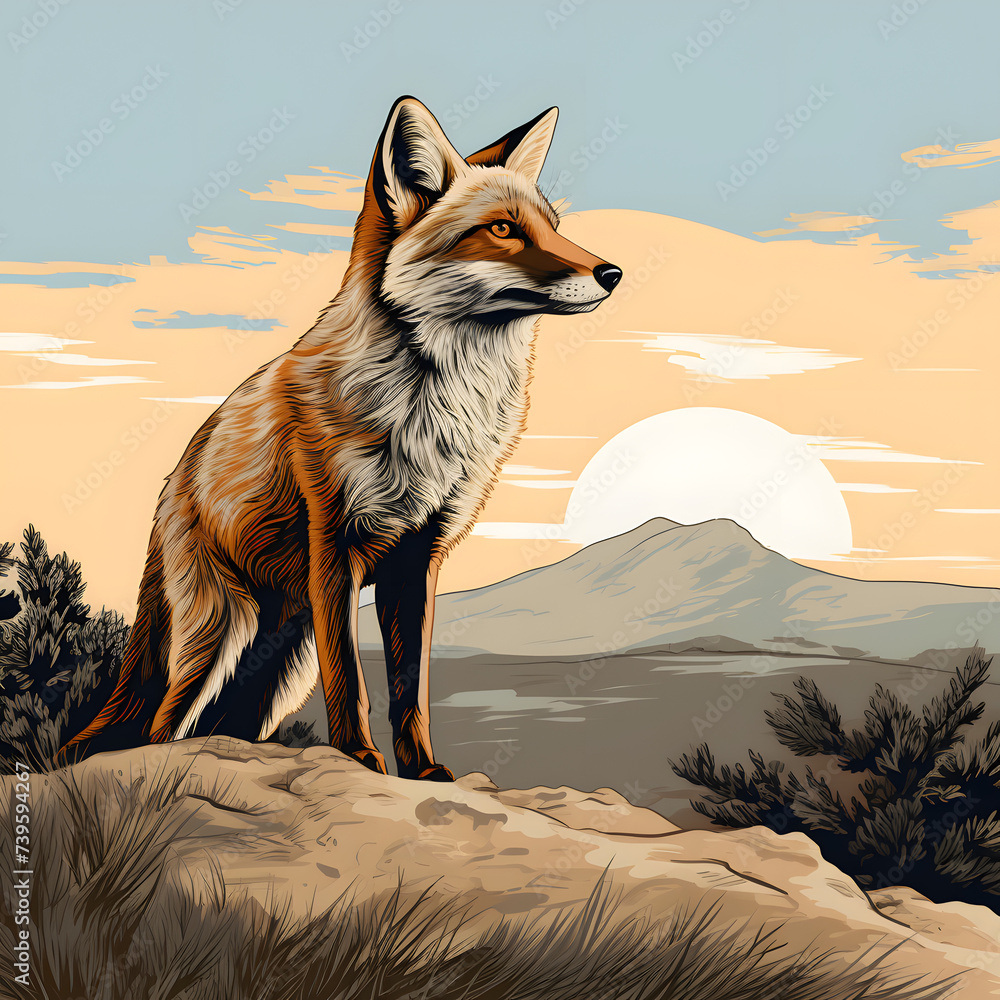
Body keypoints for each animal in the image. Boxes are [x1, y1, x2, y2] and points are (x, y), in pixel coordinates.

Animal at [58, 96, 621, 780]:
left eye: (554, 226)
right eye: (503, 230)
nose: (613, 272)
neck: (434, 413)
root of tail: (174, 484)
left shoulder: (420, 557)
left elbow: (411, 689)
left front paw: (423, 771)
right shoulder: (334, 542)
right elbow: (350, 680)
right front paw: (359, 759)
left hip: (279, 666)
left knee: (223, 726)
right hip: (221, 636)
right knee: (158, 727)